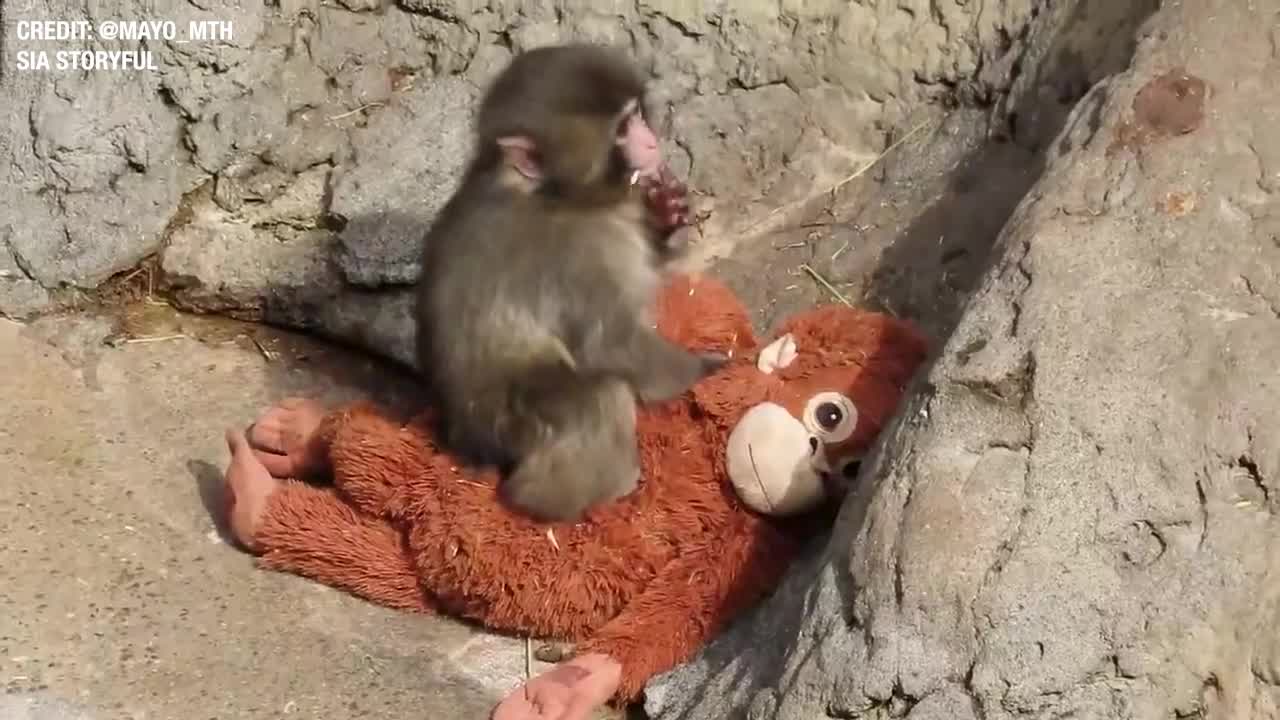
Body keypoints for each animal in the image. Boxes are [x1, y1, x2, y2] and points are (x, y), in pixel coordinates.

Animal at [414, 43, 724, 523]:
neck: (552, 195)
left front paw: (668, 215)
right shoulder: (578, 258)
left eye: (637, 114)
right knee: (600, 395)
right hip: (515, 427)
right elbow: (609, 344)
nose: (651, 141)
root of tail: (464, 439)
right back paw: (561, 497)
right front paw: (707, 371)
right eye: (622, 130)